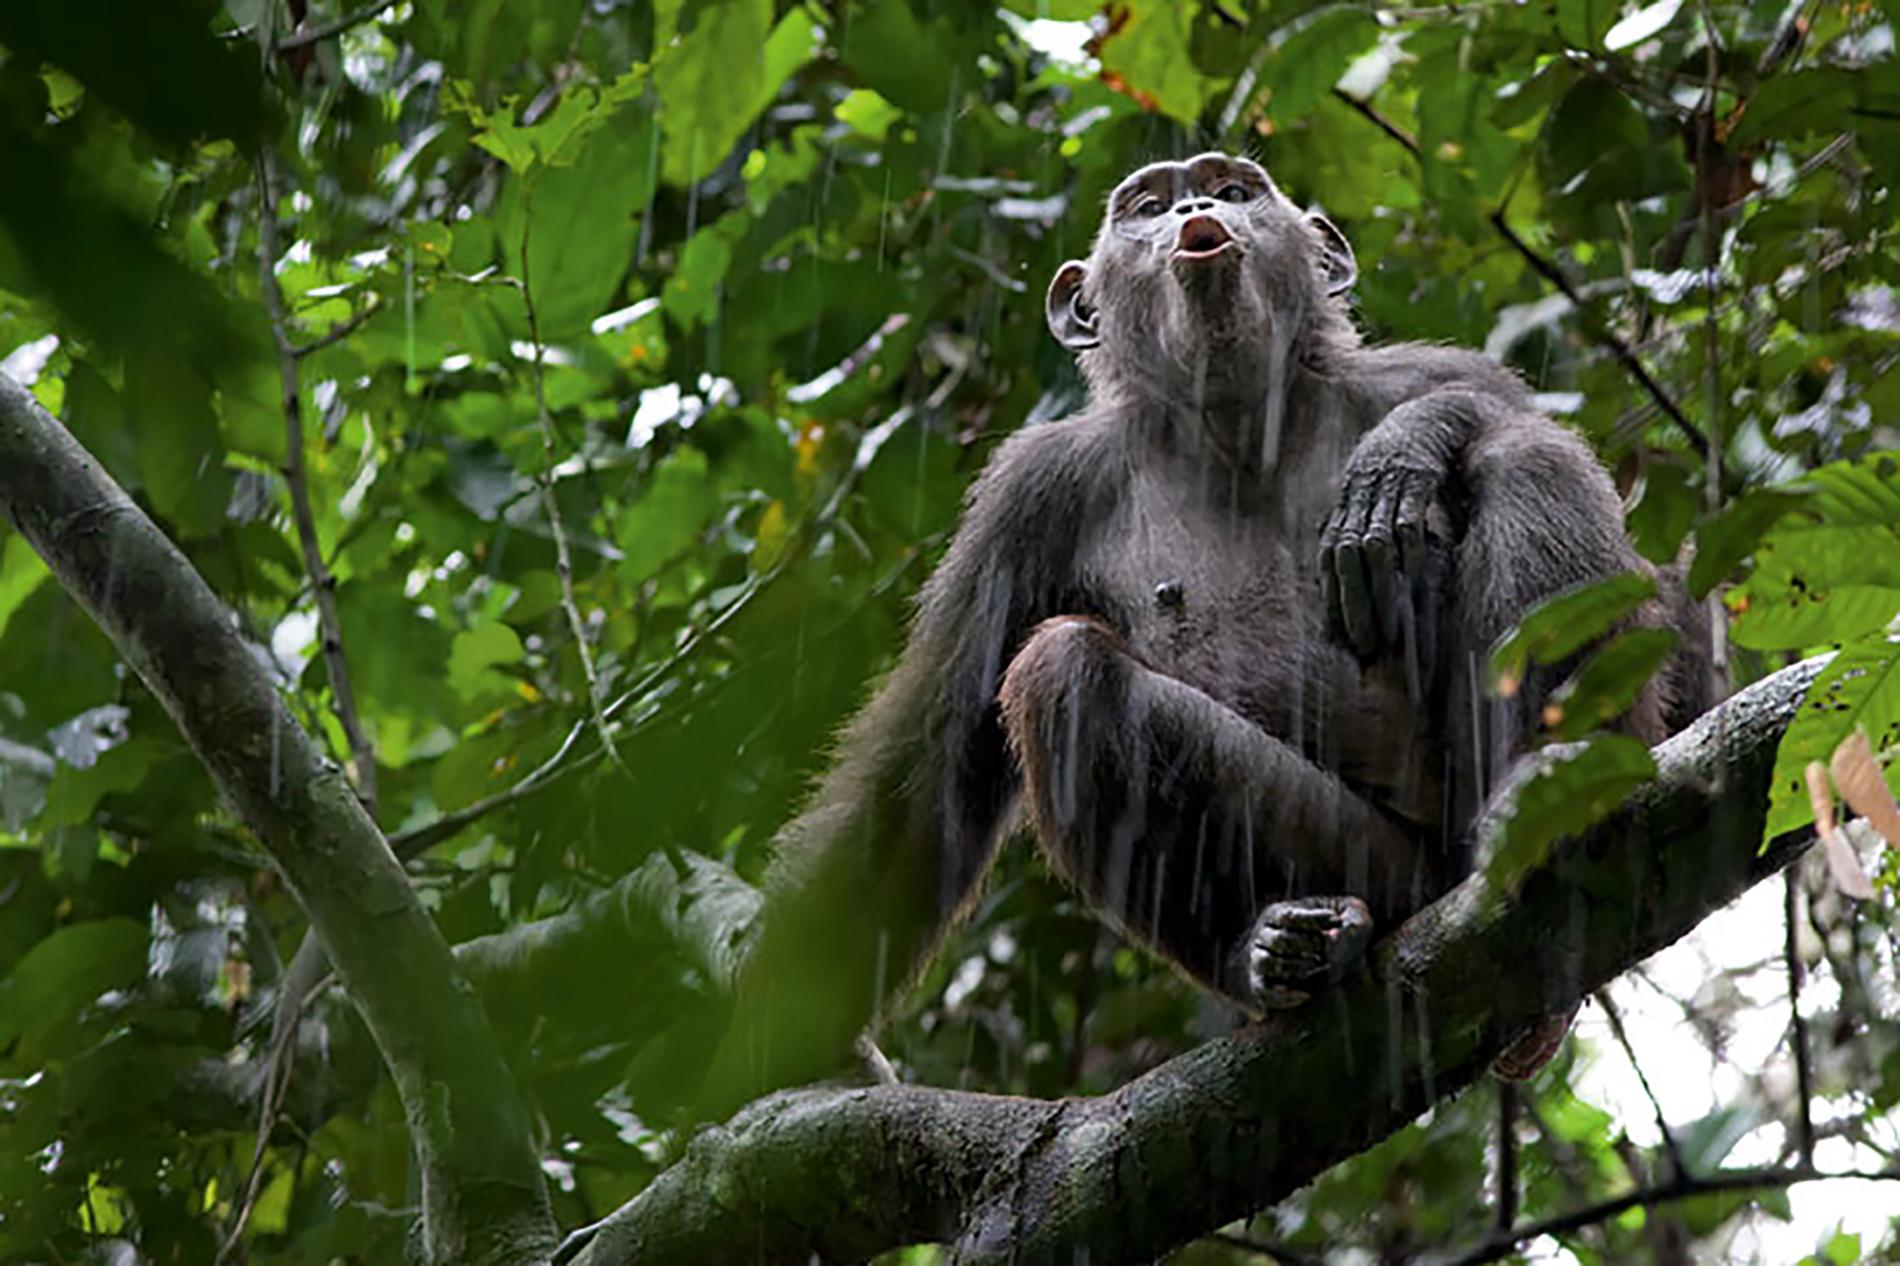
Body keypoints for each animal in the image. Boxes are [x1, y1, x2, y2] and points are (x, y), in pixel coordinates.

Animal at [689, 152, 1705, 1123]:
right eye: (1145, 206)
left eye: (1232, 188)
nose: (1191, 211)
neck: (1234, 419)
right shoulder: (1029, 498)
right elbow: (929, 760)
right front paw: (765, 1040)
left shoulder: (1427, 371)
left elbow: (1522, 439)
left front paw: (1405, 451)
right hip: (1382, 872)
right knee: (1065, 675)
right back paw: (1278, 953)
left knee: (1527, 459)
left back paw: (1546, 788)